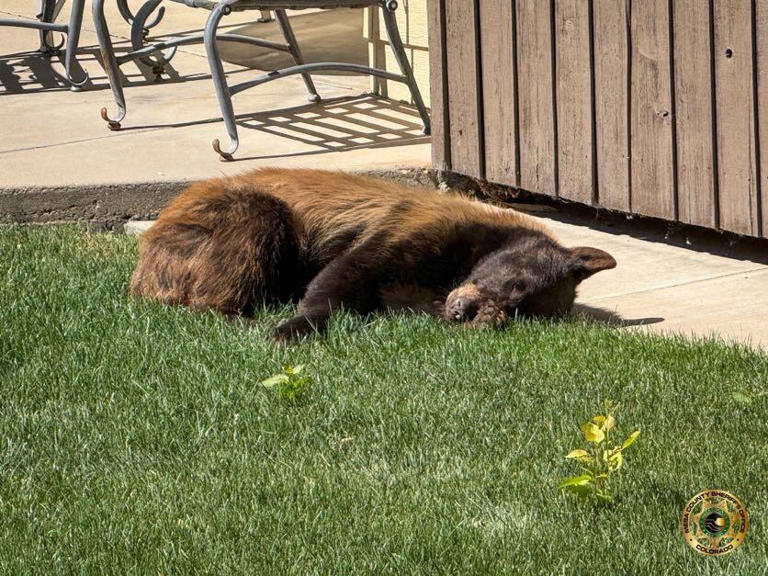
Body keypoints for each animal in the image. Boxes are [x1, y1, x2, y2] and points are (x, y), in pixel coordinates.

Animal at [130, 168, 616, 340]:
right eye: (516, 284)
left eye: (521, 312)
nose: (465, 313)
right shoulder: (410, 229)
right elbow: (343, 275)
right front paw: (292, 328)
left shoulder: (417, 290)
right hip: (218, 224)